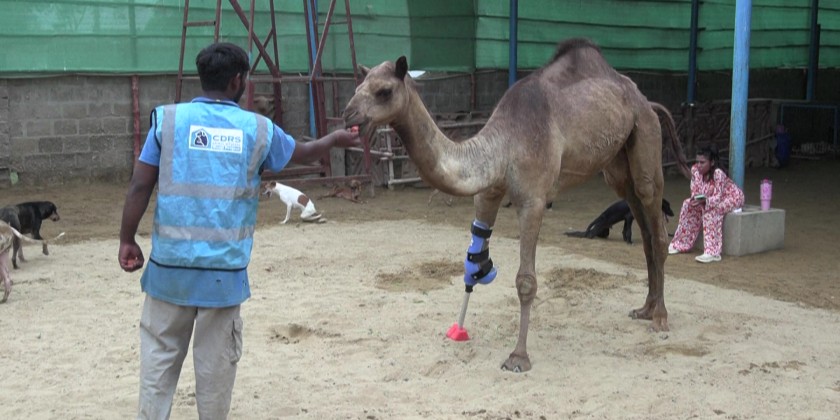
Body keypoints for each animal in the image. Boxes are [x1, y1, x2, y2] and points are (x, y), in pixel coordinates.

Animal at [342, 38, 690, 372]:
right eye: (357, 87)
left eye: (384, 91)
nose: (348, 114)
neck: (500, 147)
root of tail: (645, 100)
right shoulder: (486, 195)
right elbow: (471, 267)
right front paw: (458, 328)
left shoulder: (533, 200)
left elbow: (526, 281)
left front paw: (518, 357)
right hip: (617, 165)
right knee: (641, 224)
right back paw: (644, 308)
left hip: (646, 134)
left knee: (655, 220)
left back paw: (660, 317)